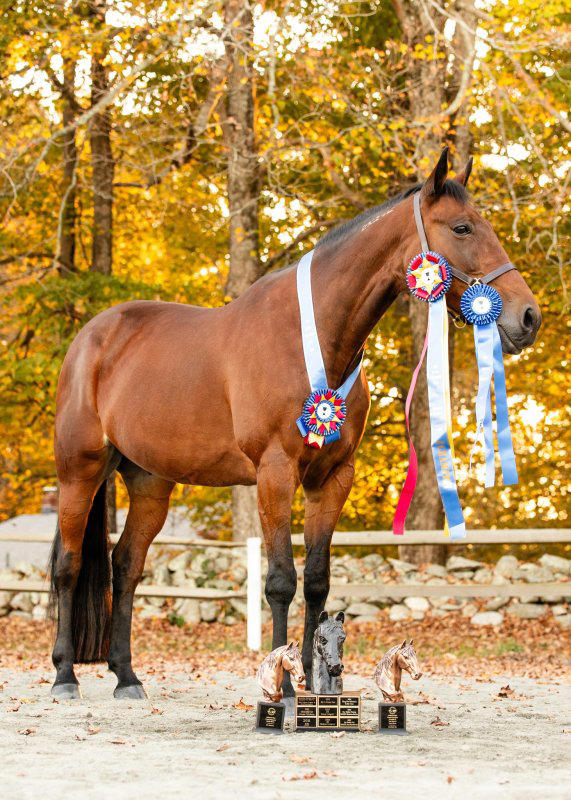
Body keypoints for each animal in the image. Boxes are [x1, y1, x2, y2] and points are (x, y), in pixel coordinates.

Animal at [49, 148, 541, 700]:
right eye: (462, 228)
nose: (528, 317)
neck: (312, 338)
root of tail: (91, 337)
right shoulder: (275, 473)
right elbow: (281, 580)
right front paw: (282, 684)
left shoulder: (332, 478)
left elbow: (318, 580)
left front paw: (317, 680)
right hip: (80, 471)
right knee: (69, 566)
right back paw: (65, 675)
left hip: (150, 483)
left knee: (126, 566)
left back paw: (127, 676)